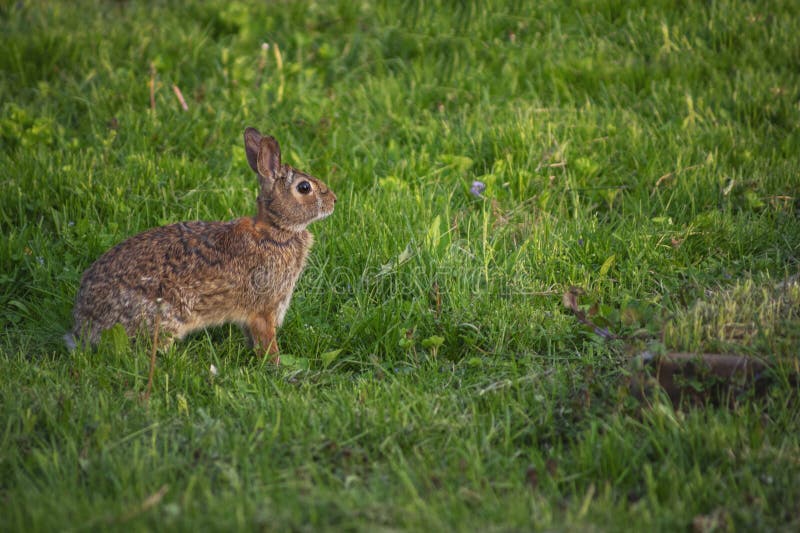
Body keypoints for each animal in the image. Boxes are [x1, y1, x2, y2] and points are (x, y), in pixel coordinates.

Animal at [64, 126, 336, 363]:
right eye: (304, 187)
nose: (333, 200)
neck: (275, 232)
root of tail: (84, 323)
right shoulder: (264, 308)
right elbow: (266, 340)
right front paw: (276, 366)